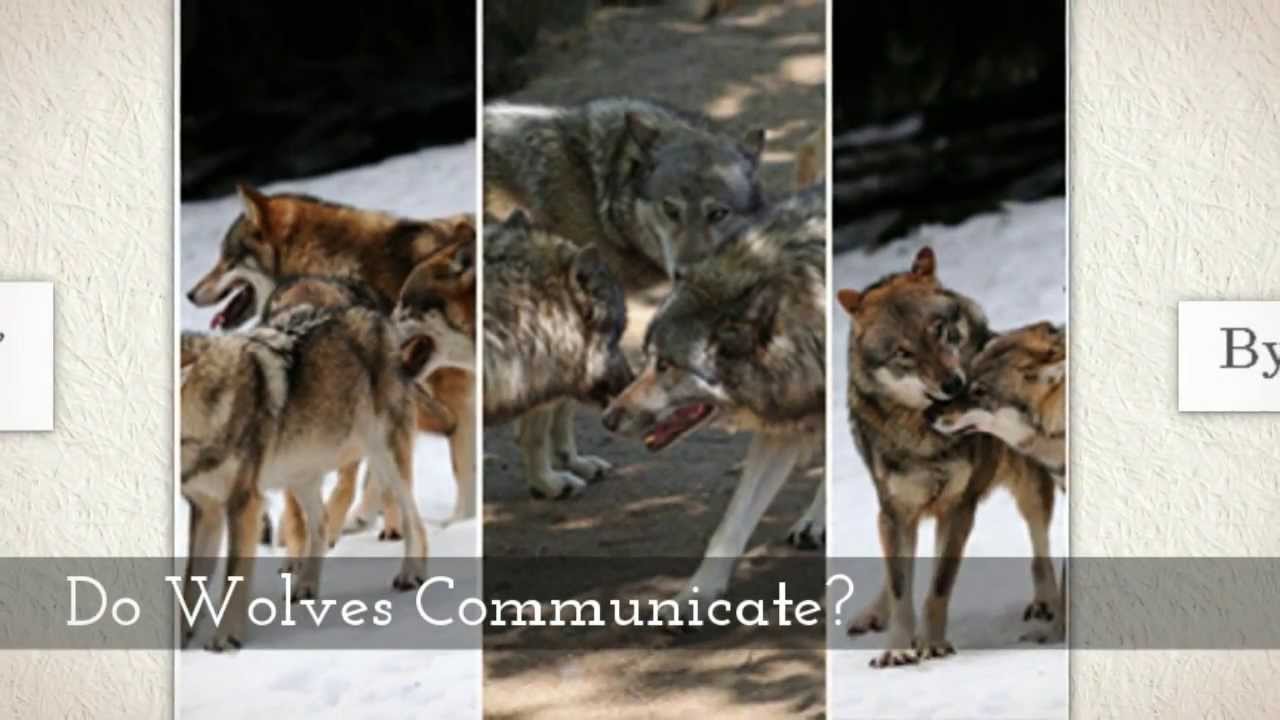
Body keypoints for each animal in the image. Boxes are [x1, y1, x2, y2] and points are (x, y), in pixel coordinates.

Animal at [179, 304, 427, 651]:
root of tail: (376, 317)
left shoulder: (243, 503)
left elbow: (233, 577)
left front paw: (225, 639)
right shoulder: (206, 509)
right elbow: (188, 588)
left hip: (385, 457)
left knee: (413, 519)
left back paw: (412, 576)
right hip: (300, 476)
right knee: (321, 522)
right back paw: (305, 586)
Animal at [186, 187, 479, 524]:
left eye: (227, 259)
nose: (189, 294)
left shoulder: (454, 392)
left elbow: (460, 468)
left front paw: (461, 521)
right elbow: (376, 472)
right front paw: (365, 518)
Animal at [601, 185, 827, 613]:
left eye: (666, 365)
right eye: (647, 358)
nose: (607, 419)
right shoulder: (782, 427)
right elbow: (730, 526)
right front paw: (696, 595)